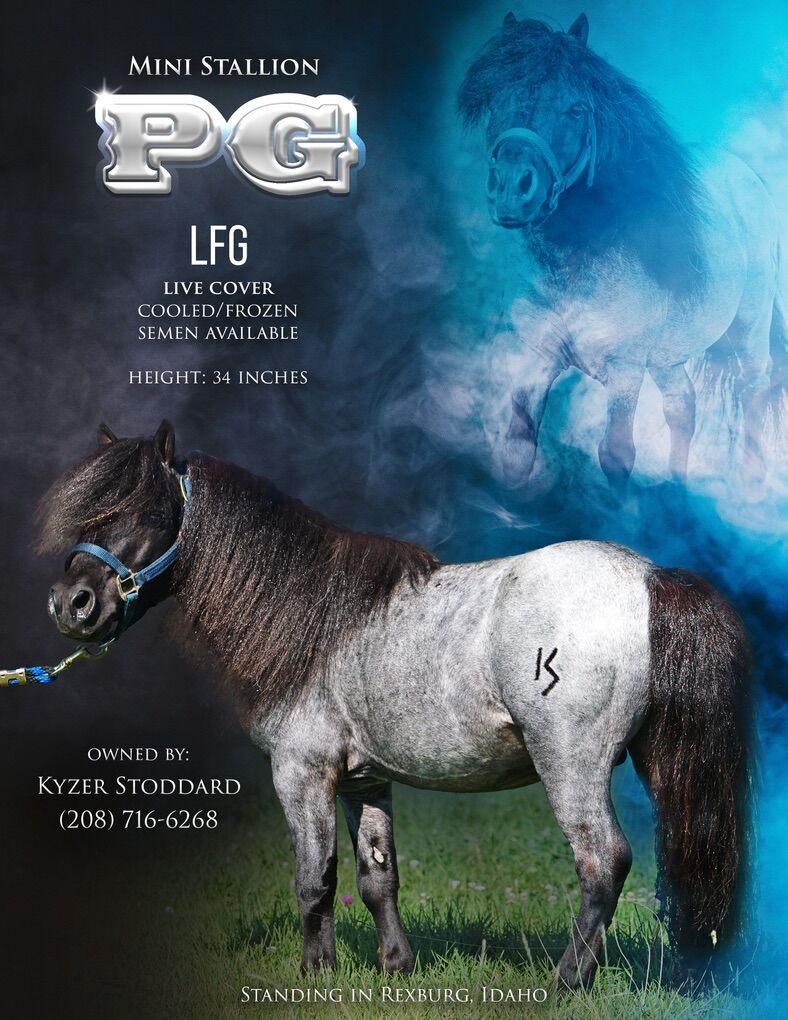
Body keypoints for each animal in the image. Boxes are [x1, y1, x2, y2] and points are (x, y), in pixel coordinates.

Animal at [38, 421, 752, 991]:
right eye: (85, 518)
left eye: (149, 514)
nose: (71, 605)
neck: (312, 620)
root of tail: (650, 579)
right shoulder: (365, 780)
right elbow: (376, 877)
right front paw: (395, 967)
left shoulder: (302, 775)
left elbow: (315, 878)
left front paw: (315, 974)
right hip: (662, 764)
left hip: (571, 765)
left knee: (603, 862)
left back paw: (566, 983)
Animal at [458, 12, 785, 494]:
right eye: (497, 101)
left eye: (577, 108)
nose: (513, 191)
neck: (578, 263)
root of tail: (748, 176)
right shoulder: (537, 353)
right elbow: (518, 452)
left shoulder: (626, 367)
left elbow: (616, 454)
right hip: (669, 352)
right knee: (682, 406)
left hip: (749, 324)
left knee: (754, 386)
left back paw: (747, 486)